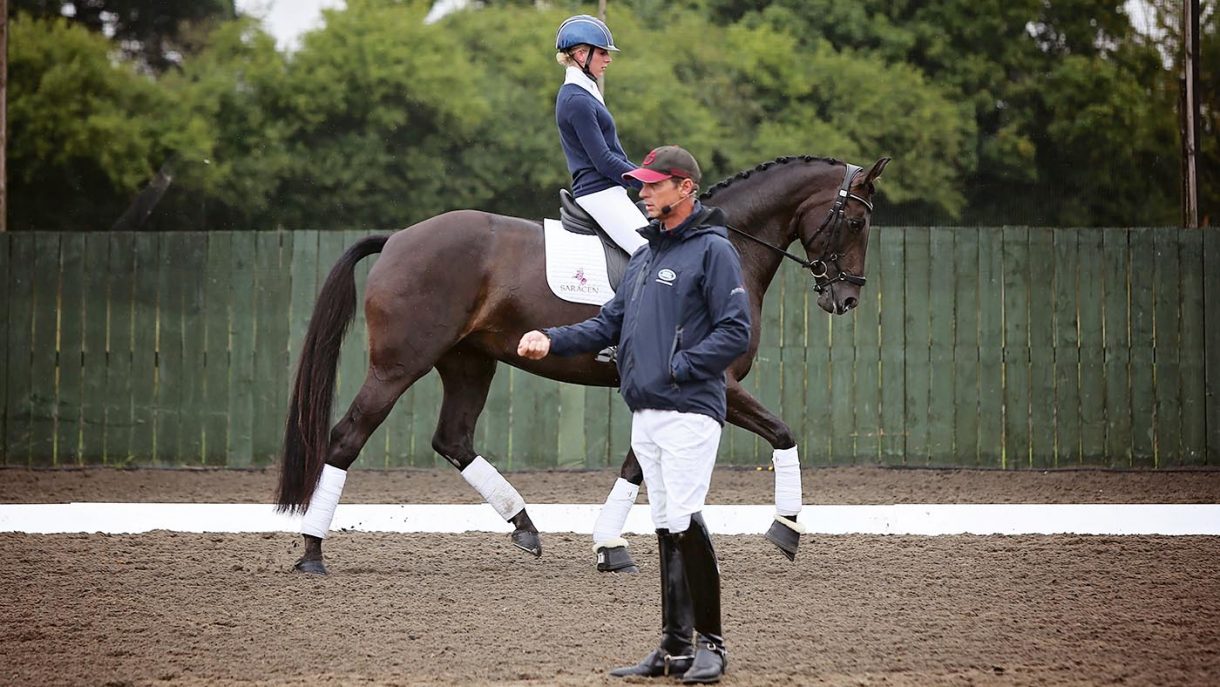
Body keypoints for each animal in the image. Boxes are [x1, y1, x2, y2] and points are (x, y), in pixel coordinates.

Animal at [276, 154, 891, 574]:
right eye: (857, 223)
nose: (846, 298)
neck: (721, 245)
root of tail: (400, 236)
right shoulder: (719, 382)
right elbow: (783, 432)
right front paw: (786, 530)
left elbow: (637, 466)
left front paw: (610, 545)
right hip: (399, 366)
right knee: (347, 436)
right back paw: (312, 551)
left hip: (469, 364)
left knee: (452, 439)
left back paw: (526, 528)